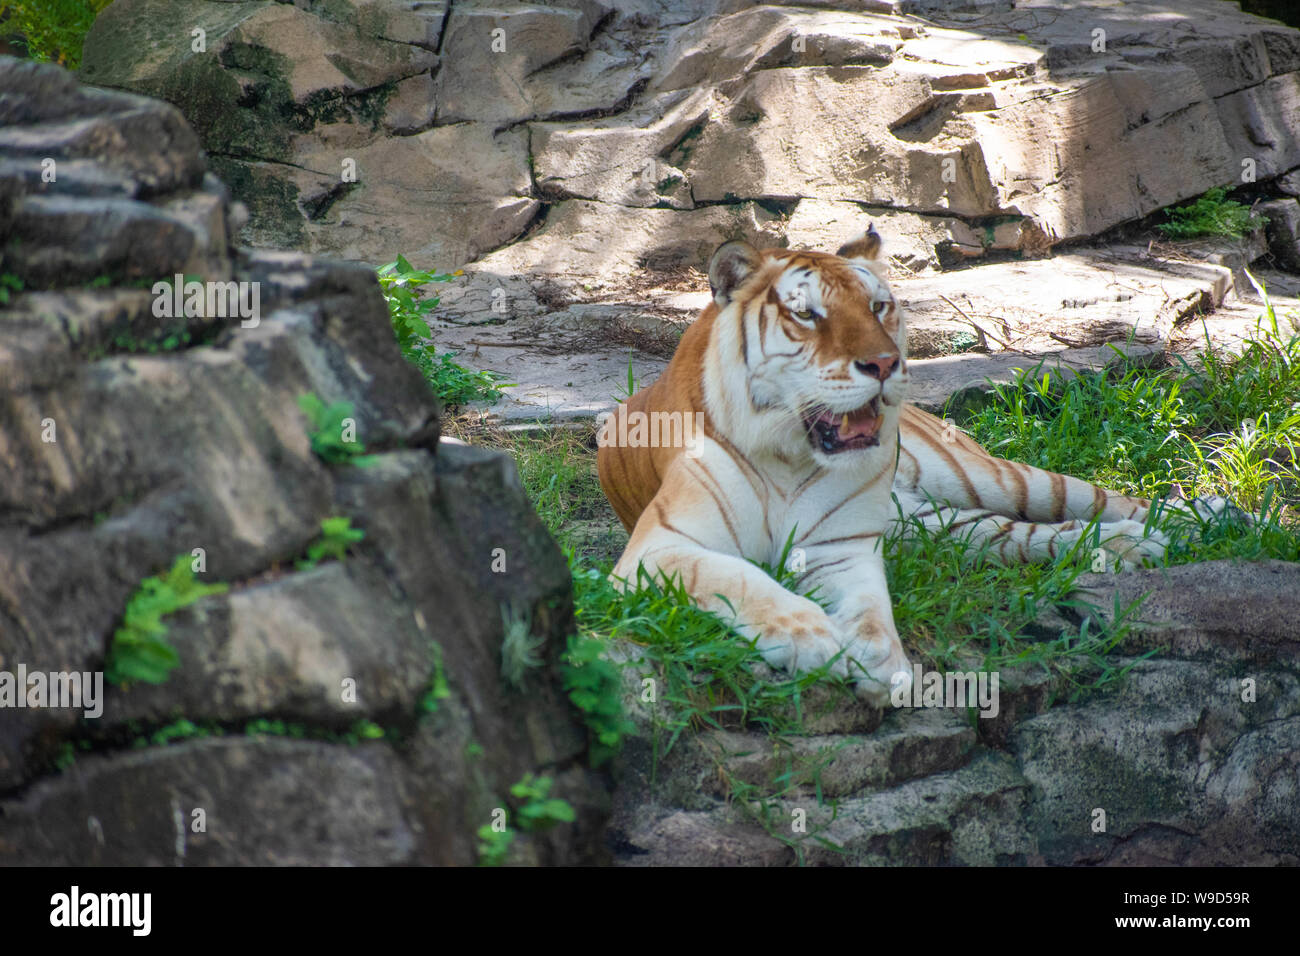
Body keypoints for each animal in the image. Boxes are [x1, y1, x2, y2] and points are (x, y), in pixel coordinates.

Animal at [596, 228, 1227, 705]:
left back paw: (1202, 518)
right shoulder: (661, 548)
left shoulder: (841, 547)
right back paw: (1133, 546)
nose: (883, 363)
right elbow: (740, 581)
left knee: (1100, 499)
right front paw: (816, 641)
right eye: (807, 315)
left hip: (989, 477)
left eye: (877, 306)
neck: (790, 455)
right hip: (932, 525)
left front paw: (881, 662)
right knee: (1025, 536)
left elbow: (871, 609)